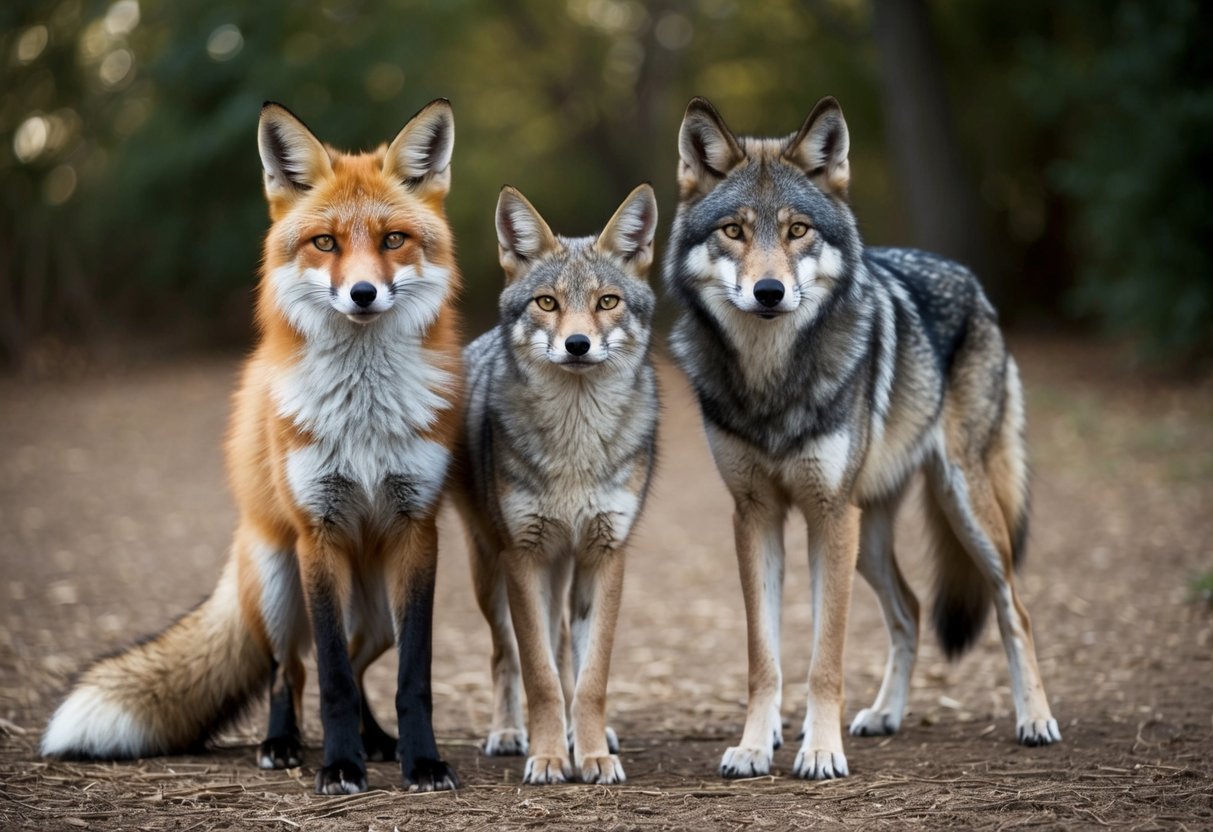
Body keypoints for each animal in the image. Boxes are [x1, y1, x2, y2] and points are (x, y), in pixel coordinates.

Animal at [41, 100, 463, 794]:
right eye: (326, 243)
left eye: (393, 240)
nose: (363, 294)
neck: (364, 415)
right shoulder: (317, 530)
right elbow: (329, 679)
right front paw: (339, 766)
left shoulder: (417, 529)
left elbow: (412, 676)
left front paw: (421, 761)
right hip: (278, 584)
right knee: (290, 669)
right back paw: (283, 743)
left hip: (375, 613)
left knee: (353, 661)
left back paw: (378, 741)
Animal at [452, 184, 660, 785]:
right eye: (547, 303)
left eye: (607, 302)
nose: (577, 345)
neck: (576, 445)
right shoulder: (523, 558)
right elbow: (539, 676)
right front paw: (546, 757)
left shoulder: (604, 556)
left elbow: (590, 678)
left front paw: (590, 755)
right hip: (492, 572)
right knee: (505, 655)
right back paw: (508, 734)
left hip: (563, 569)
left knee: (565, 646)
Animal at [663, 96, 1061, 781]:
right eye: (734, 232)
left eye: (797, 230)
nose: (769, 291)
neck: (773, 381)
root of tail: (971, 281)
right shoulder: (755, 515)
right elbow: (764, 658)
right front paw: (754, 745)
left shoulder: (828, 513)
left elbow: (825, 659)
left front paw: (820, 751)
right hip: (868, 535)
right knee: (912, 610)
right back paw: (884, 715)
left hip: (956, 509)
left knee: (1015, 607)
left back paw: (1034, 719)